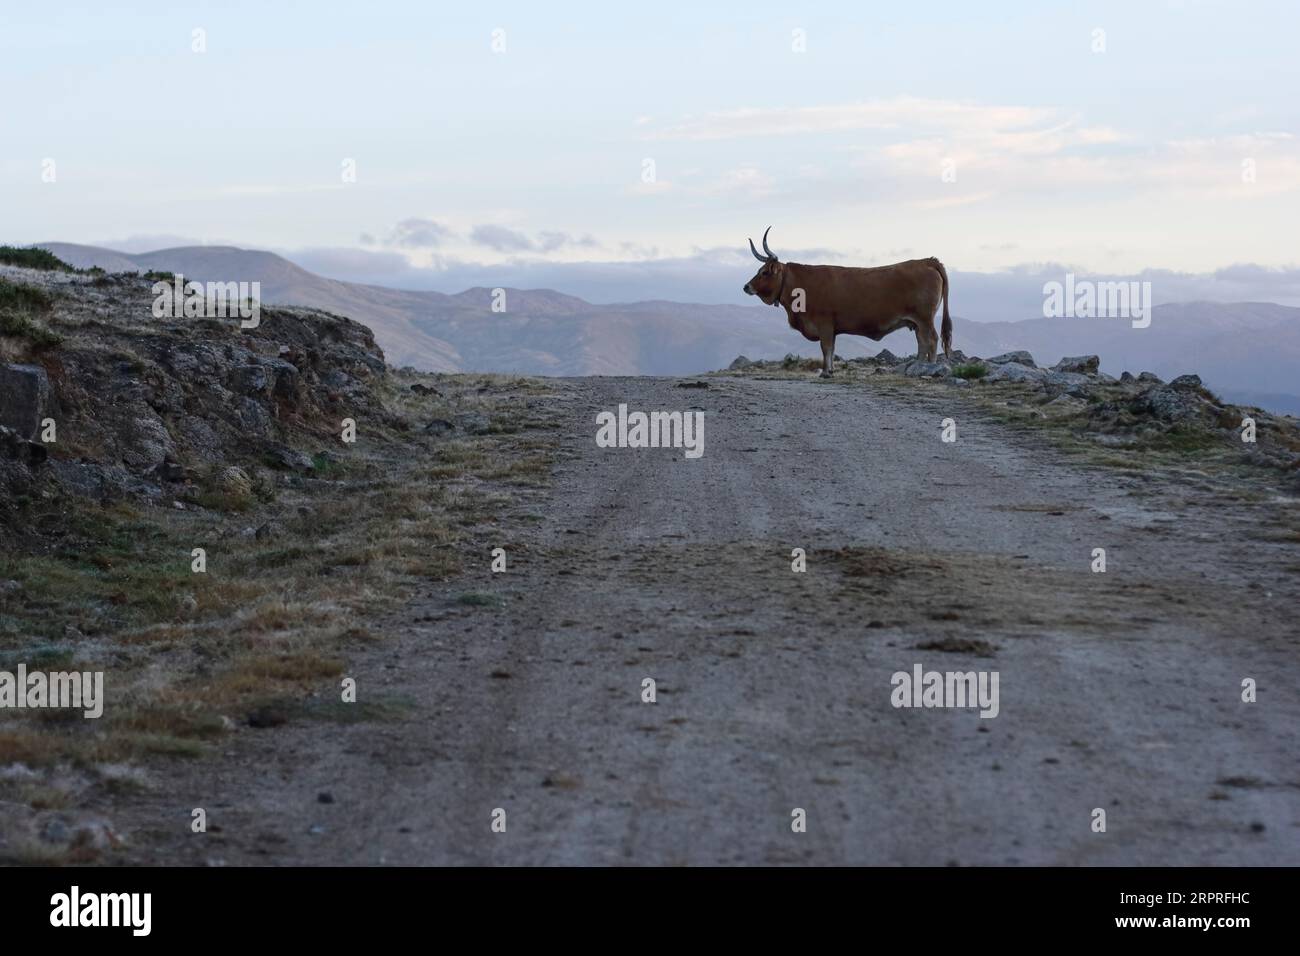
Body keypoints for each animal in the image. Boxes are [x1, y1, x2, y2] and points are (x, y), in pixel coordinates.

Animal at [742, 227, 952, 377]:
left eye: (764, 272)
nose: (746, 286)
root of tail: (927, 261)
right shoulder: (832, 327)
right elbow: (831, 349)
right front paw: (831, 370)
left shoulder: (824, 324)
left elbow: (826, 348)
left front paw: (826, 372)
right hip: (916, 322)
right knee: (922, 342)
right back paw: (917, 366)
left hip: (925, 319)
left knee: (932, 340)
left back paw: (929, 368)